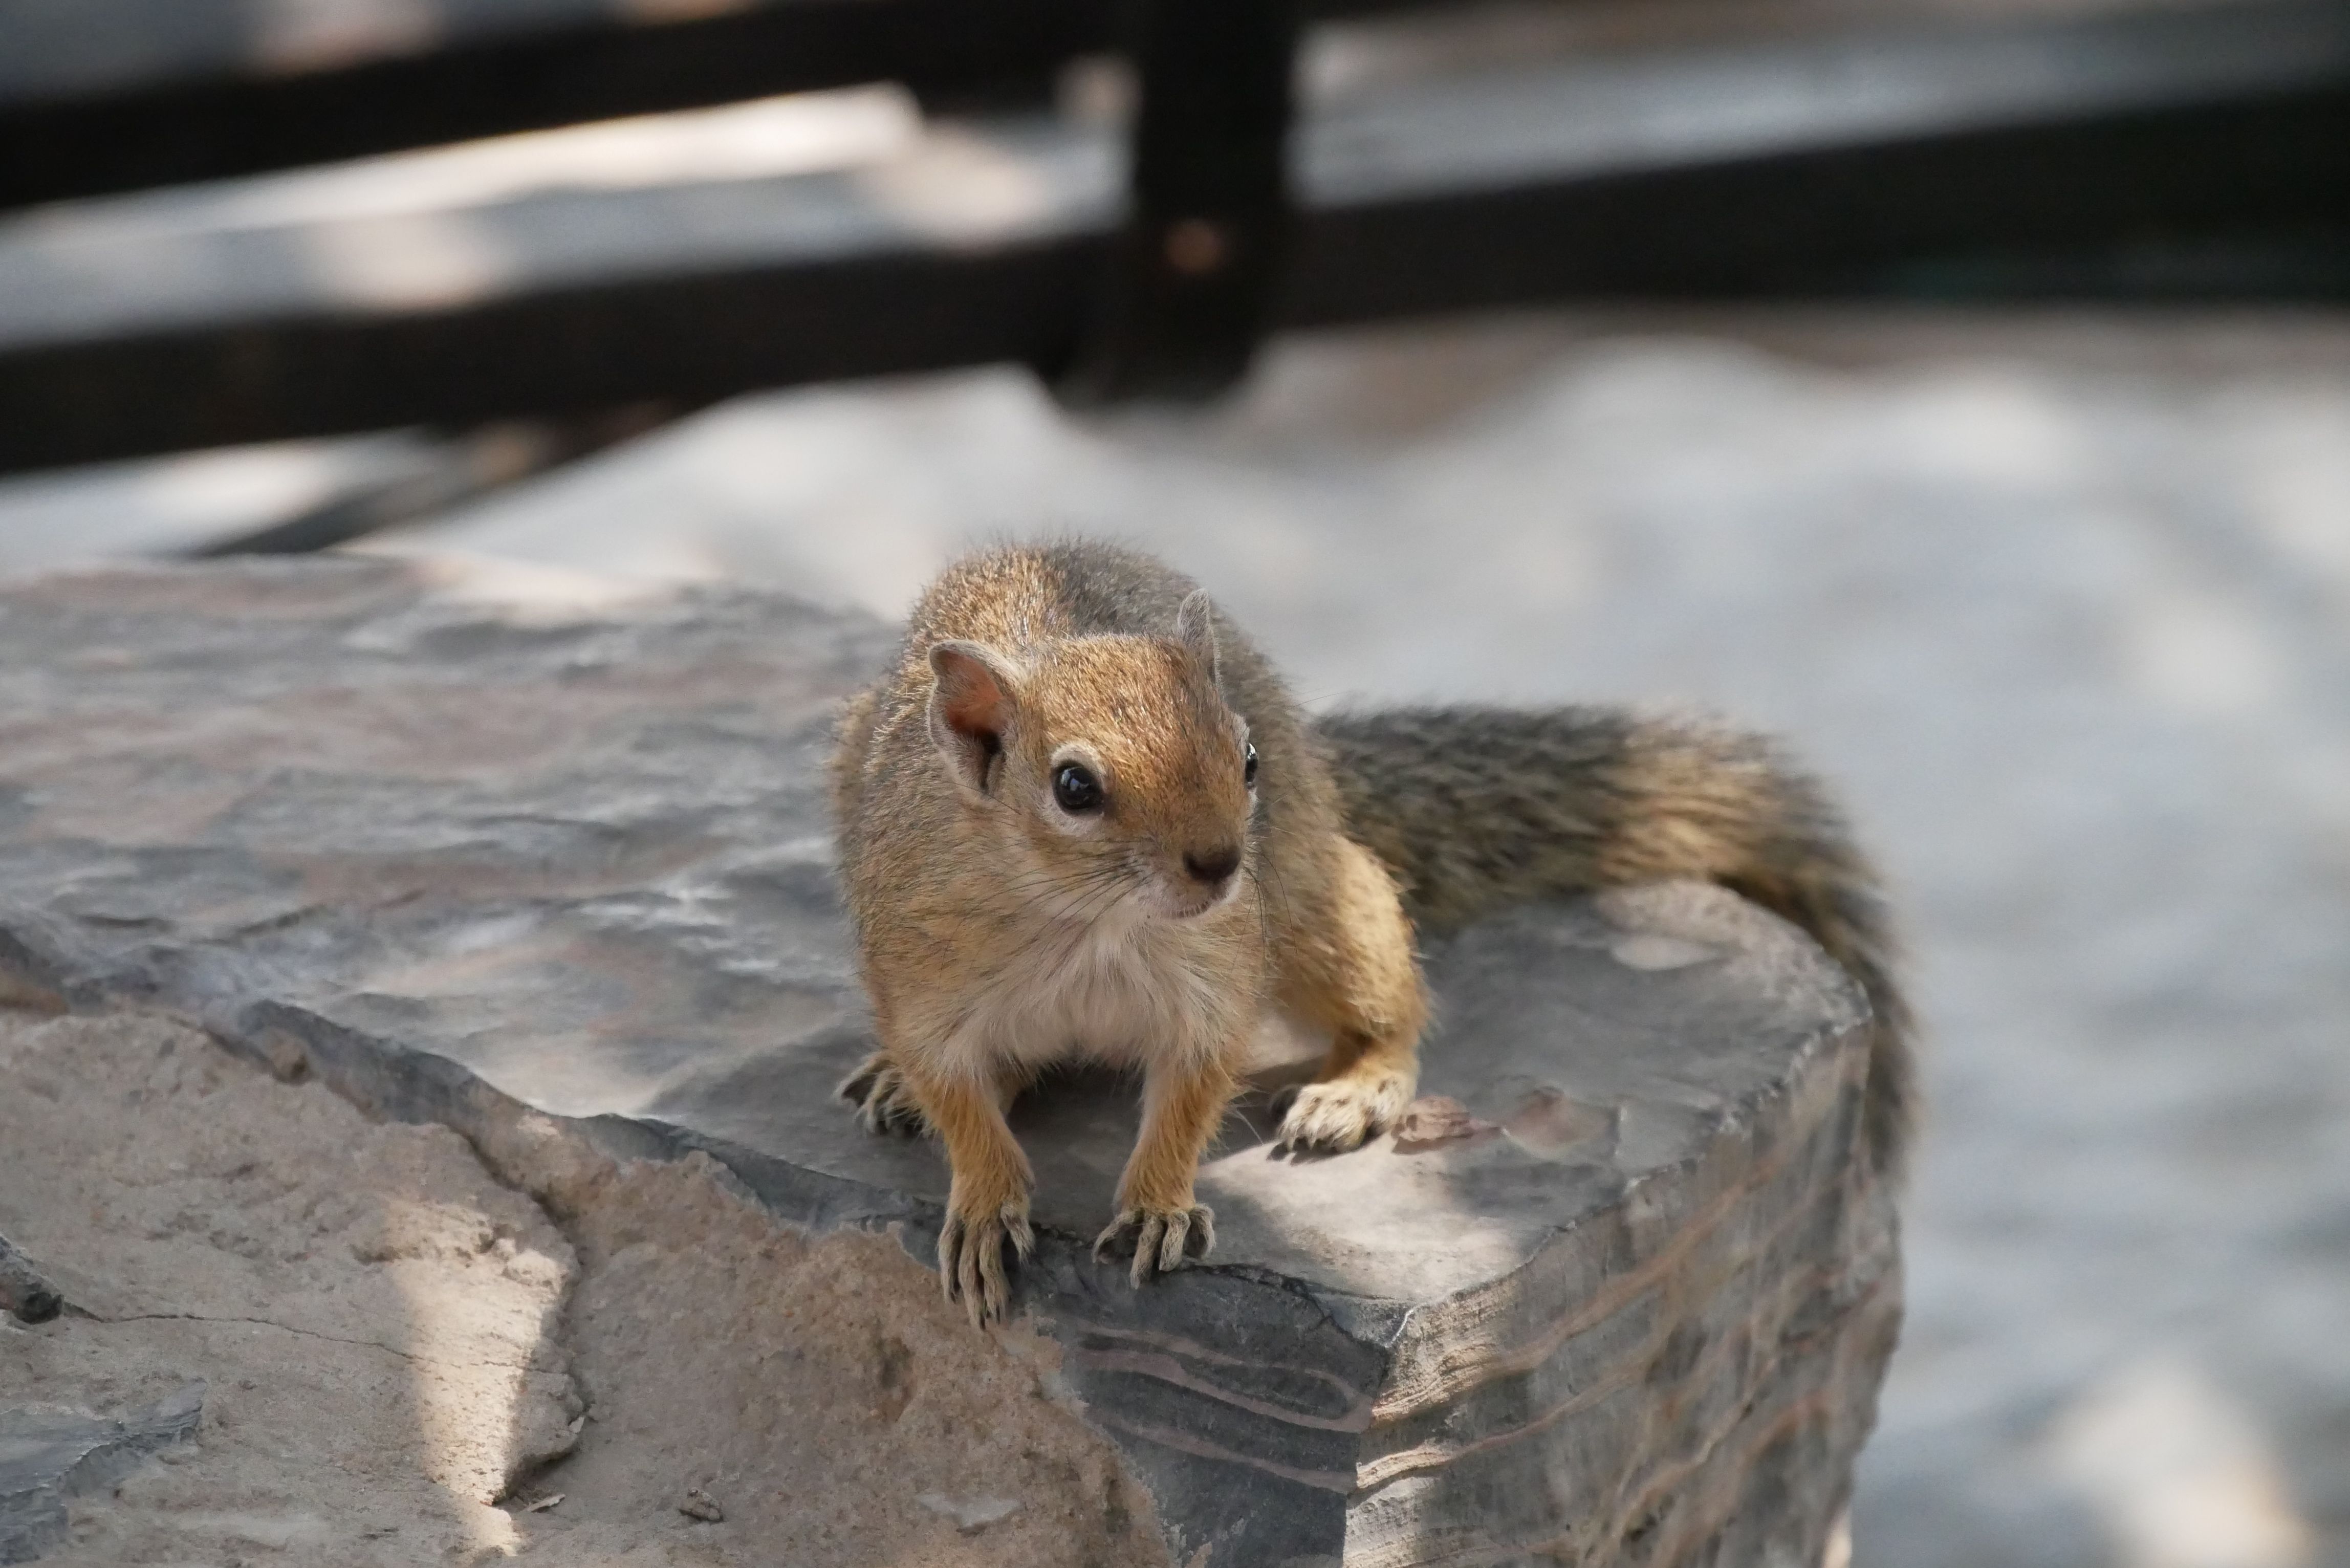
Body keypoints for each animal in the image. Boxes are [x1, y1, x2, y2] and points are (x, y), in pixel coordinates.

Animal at [831, 540, 1913, 1326]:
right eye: (1072, 787)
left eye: (1246, 756)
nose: (1221, 862)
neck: (1090, 924)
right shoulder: (919, 978)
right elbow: (957, 1094)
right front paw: (981, 1199)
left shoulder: (1216, 979)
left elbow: (1191, 1086)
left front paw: (1156, 1201)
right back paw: (898, 1086)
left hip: (1322, 912)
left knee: (1390, 1008)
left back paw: (1353, 1089)